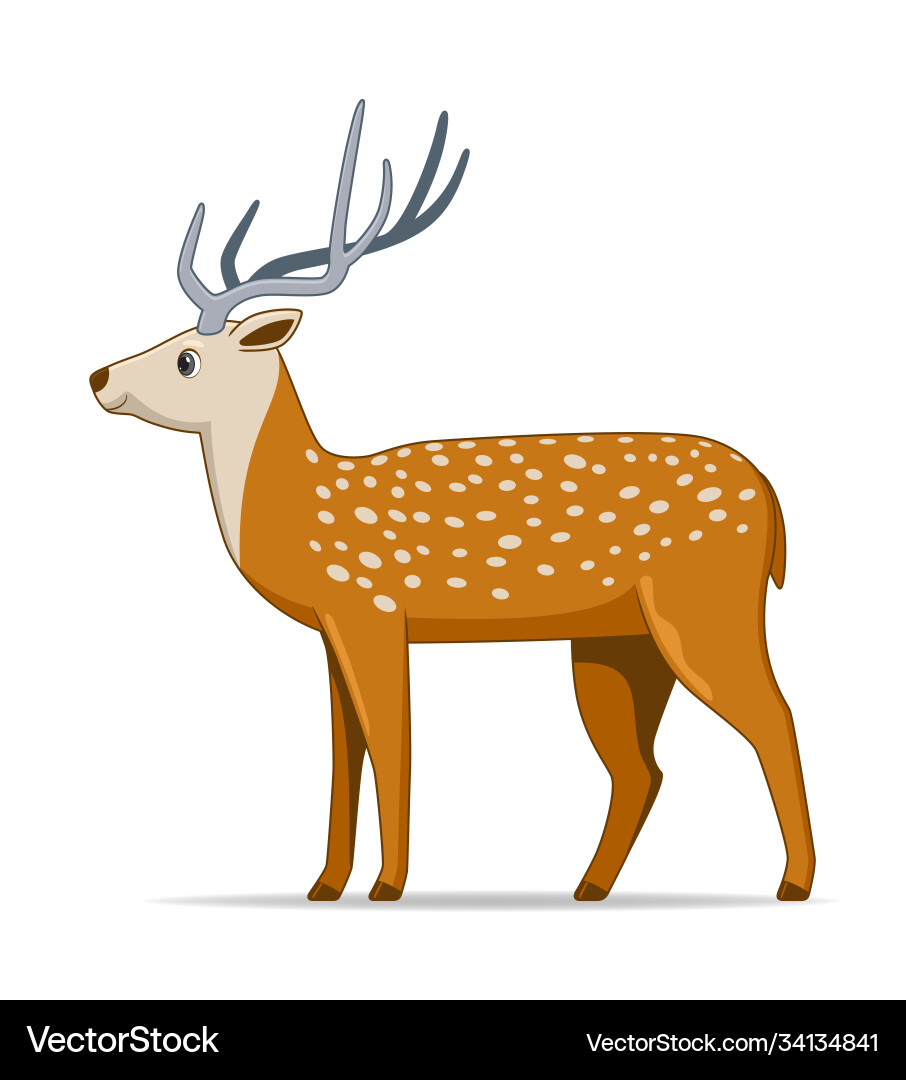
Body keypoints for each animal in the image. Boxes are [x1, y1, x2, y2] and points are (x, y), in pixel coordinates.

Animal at [90, 101, 815, 902]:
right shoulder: (332, 631)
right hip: (616, 643)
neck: (307, 501)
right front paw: (325, 885)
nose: (97, 377)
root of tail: (772, 499)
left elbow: (394, 746)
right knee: (641, 768)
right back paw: (588, 887)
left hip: (705, 605)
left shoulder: (371, 610)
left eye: (187, 358)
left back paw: (793, 883)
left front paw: (387, 885)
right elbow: (344, 757)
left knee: (775, 718)